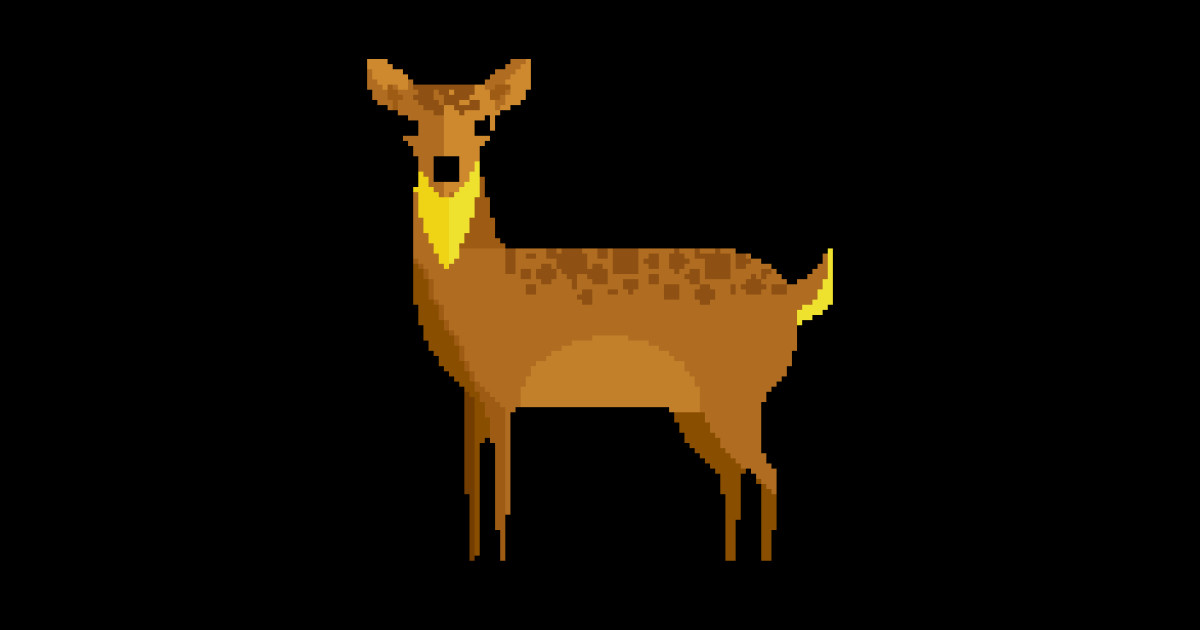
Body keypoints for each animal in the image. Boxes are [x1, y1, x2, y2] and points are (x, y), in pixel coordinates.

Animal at [366, 57, 833, 562]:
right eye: (409, 123)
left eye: (484, 123)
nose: (447, 170)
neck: (481, 289)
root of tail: (792, 296)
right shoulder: (473, 394)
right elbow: (474, 482)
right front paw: (474, 554)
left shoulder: (505, 387)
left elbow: (502, 486)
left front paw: (500, 554)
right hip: (698, 407)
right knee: (735, 477)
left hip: (738, 395)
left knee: (769, 474)